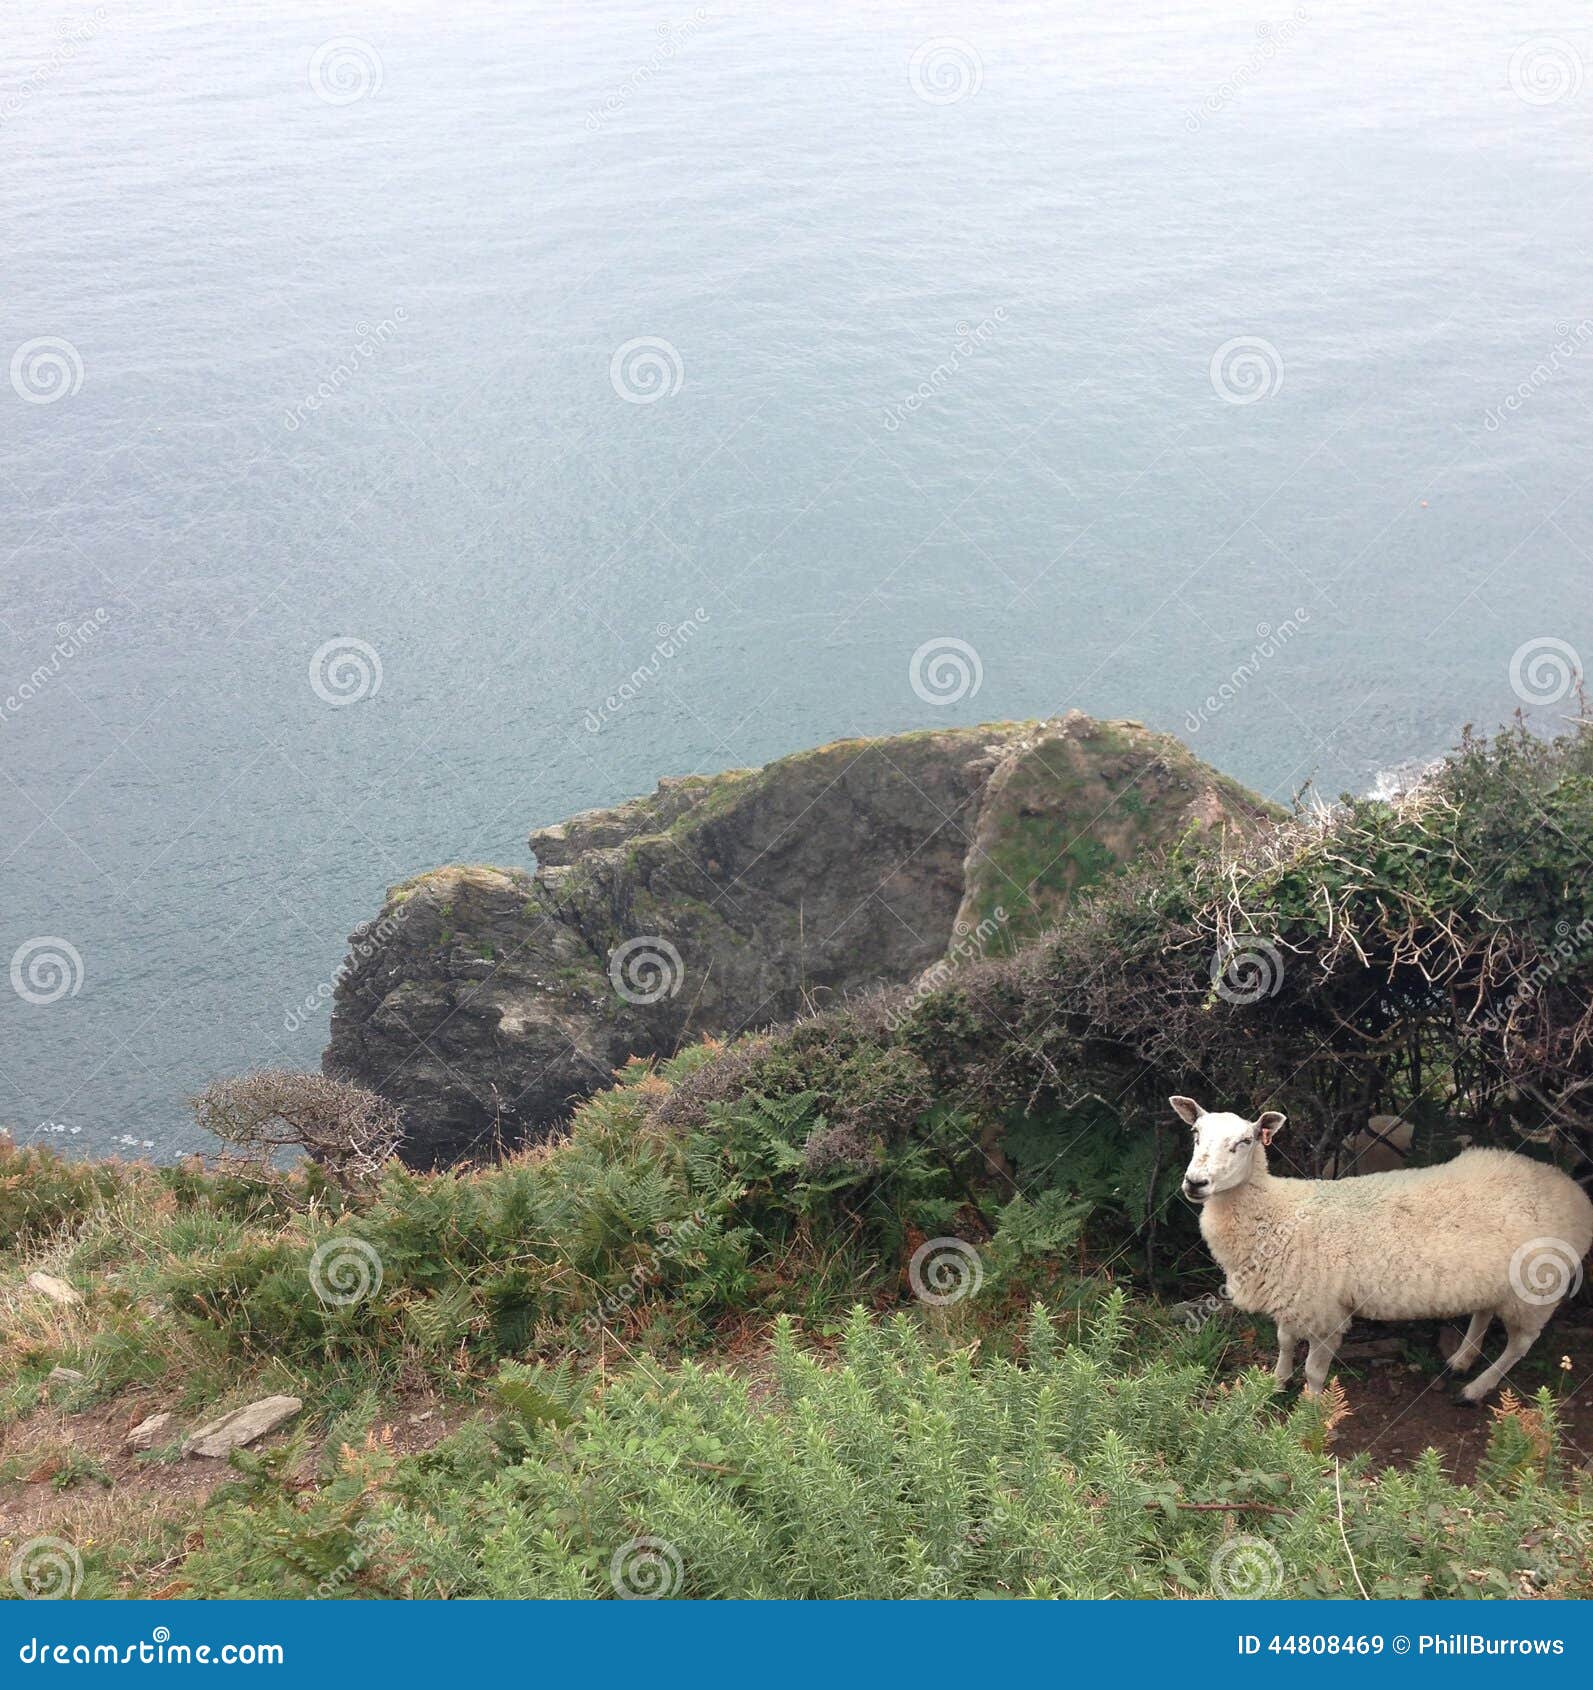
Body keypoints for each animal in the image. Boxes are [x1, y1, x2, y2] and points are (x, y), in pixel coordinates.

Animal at [1170, 1096, 1593, 1403]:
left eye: (1244, 1142)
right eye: (1195, 1133)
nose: (1196, 1183)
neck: (1276, 1212)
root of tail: (1571, 1190)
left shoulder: (1325, 1309)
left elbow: (1314, 1370)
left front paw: (1309, 1415)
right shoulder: (1295, 1297)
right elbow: (1285, 1343)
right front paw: (1274, 1385)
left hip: (1535, 1290)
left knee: (1520, 1344)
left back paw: (1475, 1389)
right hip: (1494, 1280)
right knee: (1484, 1311)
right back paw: (1462, 1359)